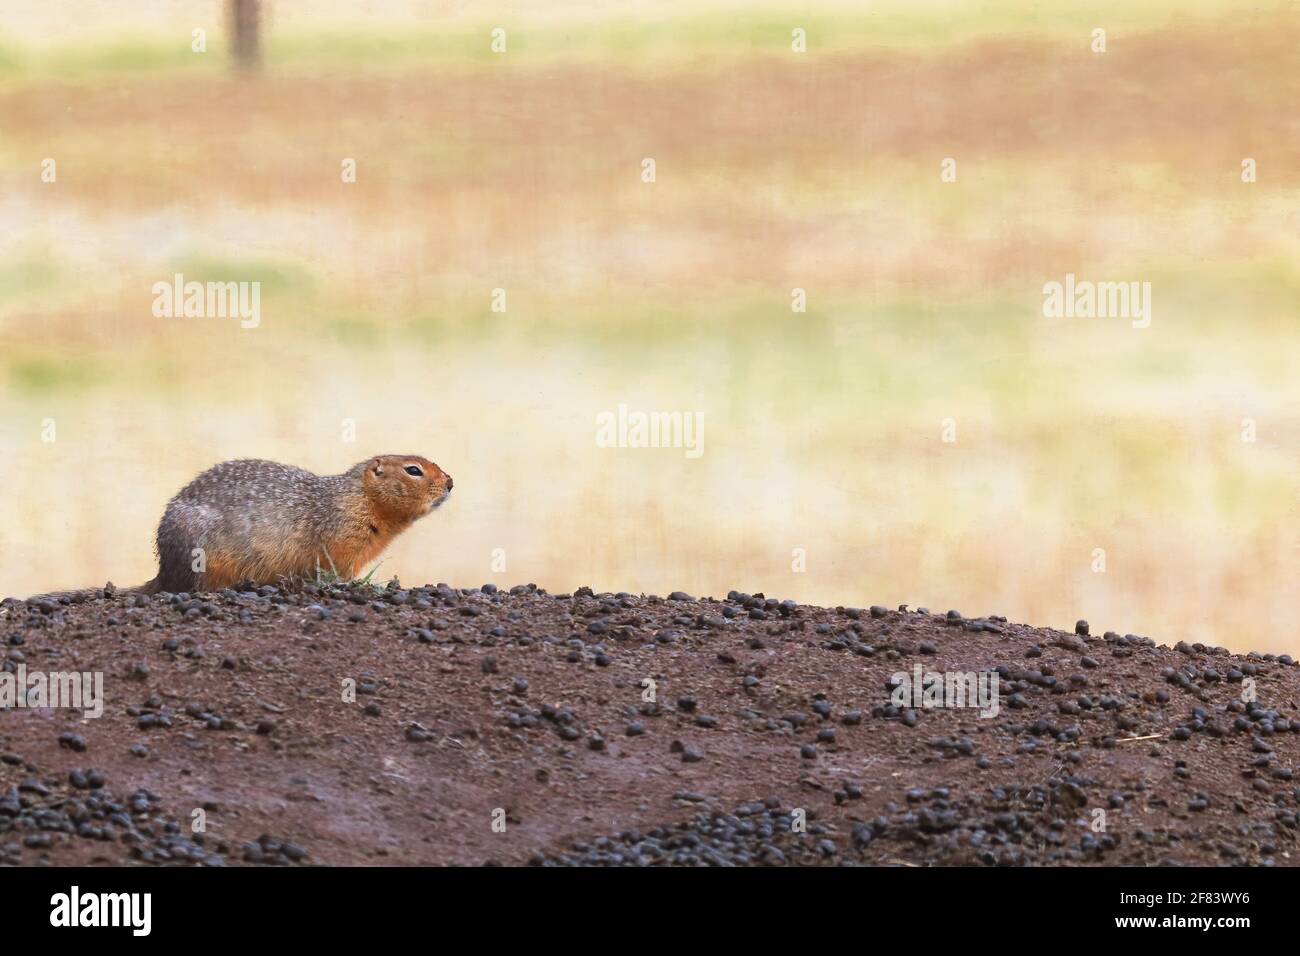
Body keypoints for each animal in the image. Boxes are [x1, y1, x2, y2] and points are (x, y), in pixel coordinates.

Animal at [28, 455, 453, 599]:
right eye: (414, 470)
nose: (451, 482)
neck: (358, 497)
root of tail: (164, 571)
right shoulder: (340, 538)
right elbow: (334, 570)